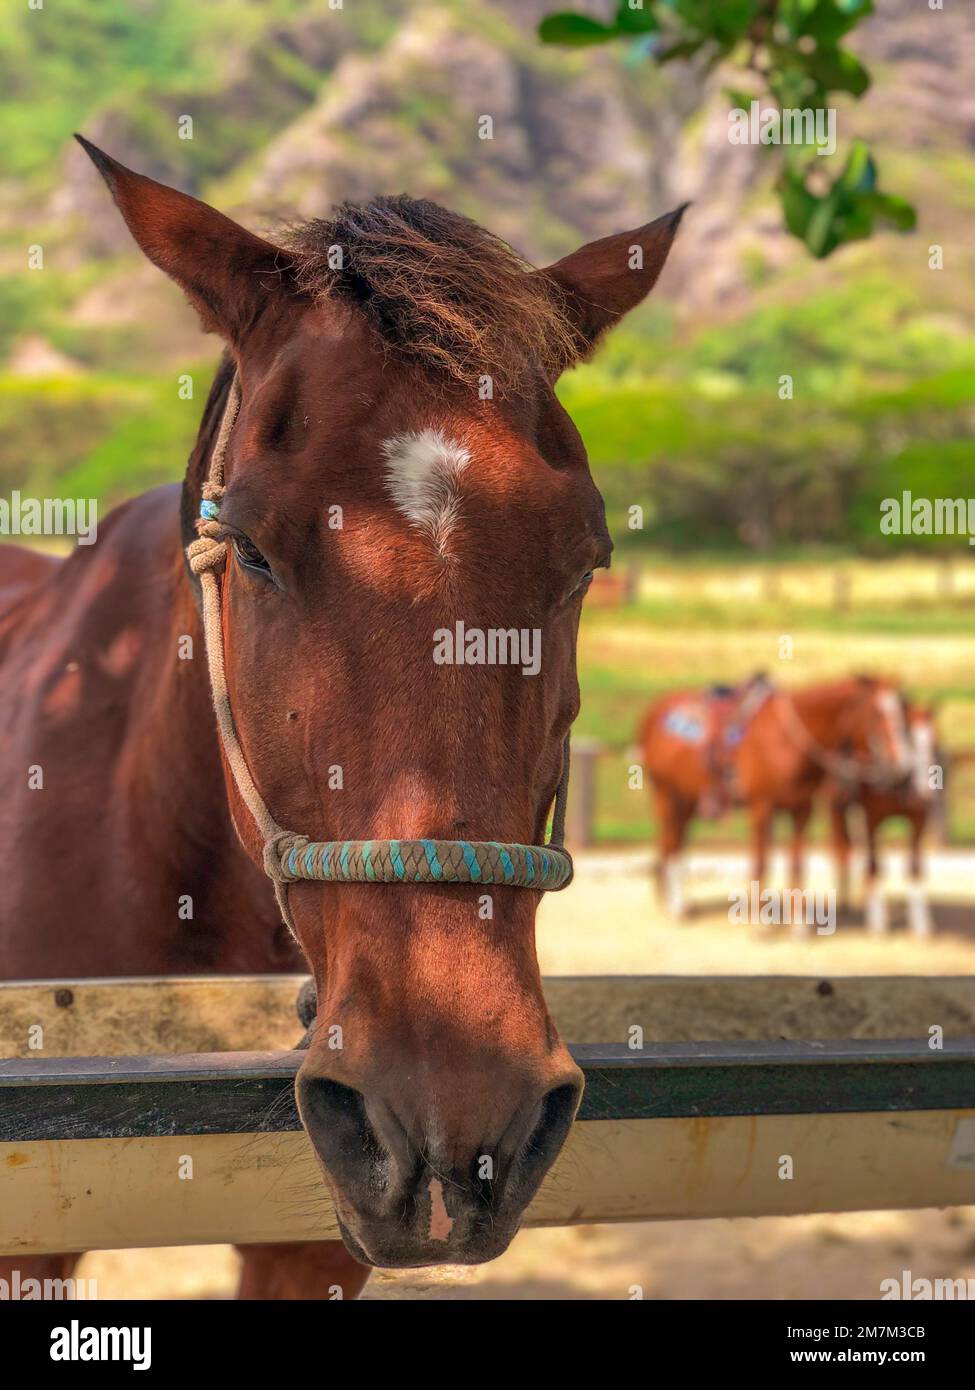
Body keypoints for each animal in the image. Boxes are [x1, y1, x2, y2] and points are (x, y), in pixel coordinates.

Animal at [639, 676, 912, 920]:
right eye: (876, 714)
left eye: (901, 712)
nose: (902, 767)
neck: (785, 741)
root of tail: (654, 713)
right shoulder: (763, 808)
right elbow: (762, 861)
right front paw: (761, 923)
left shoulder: (802, 810)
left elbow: (797, 864)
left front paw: (799, 926)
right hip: (666, 795)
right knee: (672, 844)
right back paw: (677, 907)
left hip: (685, 799)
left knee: (674, 842)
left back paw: (675, 901)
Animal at [828, 702, 940, 936]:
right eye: (909, 737)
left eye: (935, 742)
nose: (925, 793)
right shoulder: (872, 820)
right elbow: (873, 864)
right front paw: (877, 922)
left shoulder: (919, 820)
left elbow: (915, 866)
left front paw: (921, 923)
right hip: (837, 808)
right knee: (843, 850)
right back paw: (845, 902)